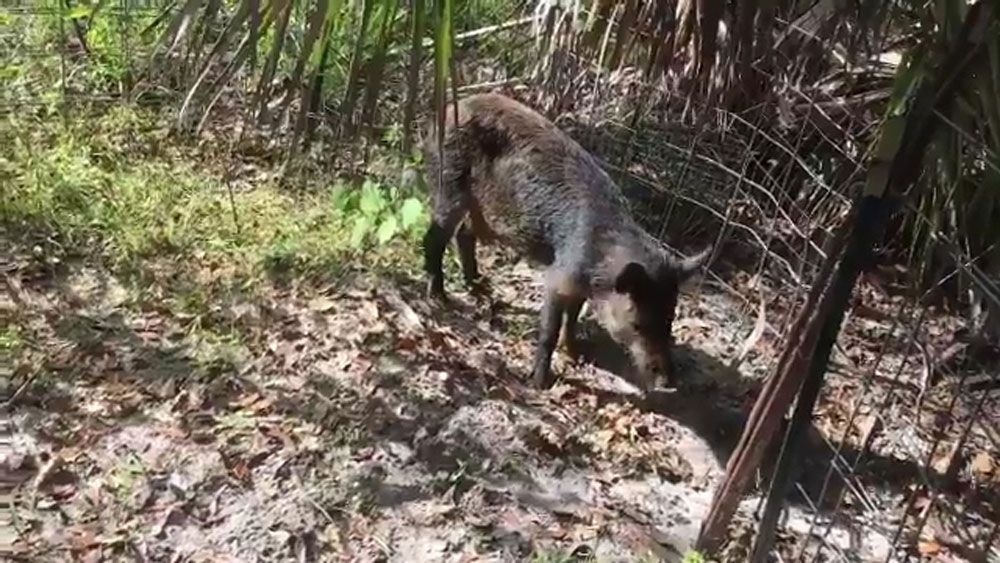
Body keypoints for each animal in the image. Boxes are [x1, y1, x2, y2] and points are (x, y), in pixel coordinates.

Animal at [421, 93, 710, 390]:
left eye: (670, 320)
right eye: (637, 324)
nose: (668, 382)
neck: (601, 266)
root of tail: (448, 109)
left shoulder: (580, 287)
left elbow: (572, 320)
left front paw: (575, 355)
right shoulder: (559, 277)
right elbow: (550, 329)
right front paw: (540, 383)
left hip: (485, 212)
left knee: (464, 233)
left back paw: (481, 290)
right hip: (449, 182)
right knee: (434, 237)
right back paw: (439, 297)